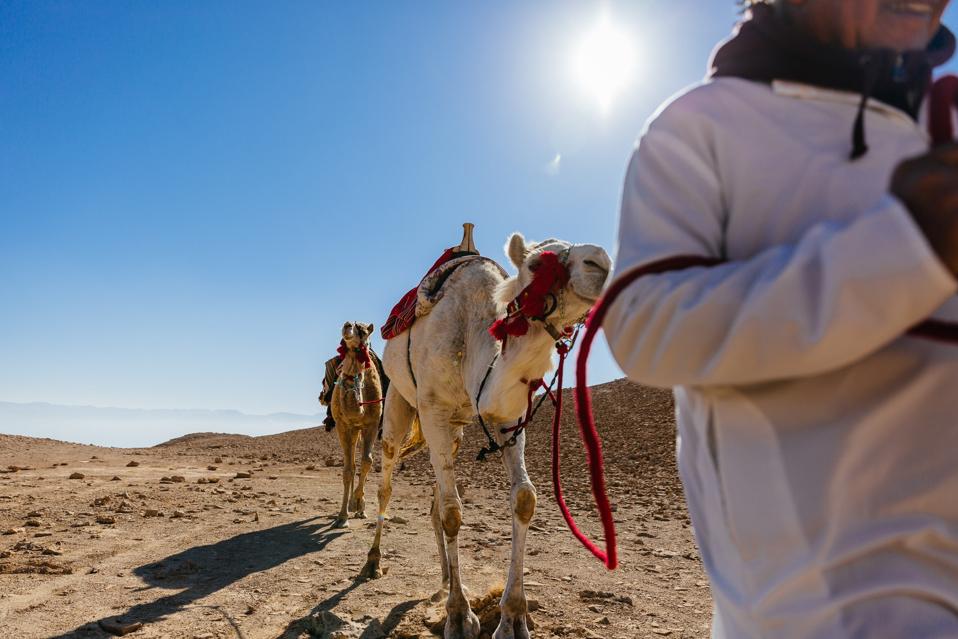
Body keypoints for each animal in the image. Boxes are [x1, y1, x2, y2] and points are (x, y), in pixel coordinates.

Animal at [329, 321, 383, 528]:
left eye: (364, 330)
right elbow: (347, 469)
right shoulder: (343, 426)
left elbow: (367, 461)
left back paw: (359, 508)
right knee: (351, 463)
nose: (347, 326)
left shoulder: (372, 423)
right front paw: (342, 516)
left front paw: (358, 504)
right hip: (352, 431)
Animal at [360, 230, 611, 639]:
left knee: (435, 494)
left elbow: (524, 499)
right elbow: (452, 512)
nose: (602, 263)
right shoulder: (433, 410)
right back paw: (373, 561)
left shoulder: (509, 415)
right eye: (536, 264)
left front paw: (512, 619)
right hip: (400, 402)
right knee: (388, 481)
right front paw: (459, 617)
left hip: (454, 430)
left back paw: (447, 579)